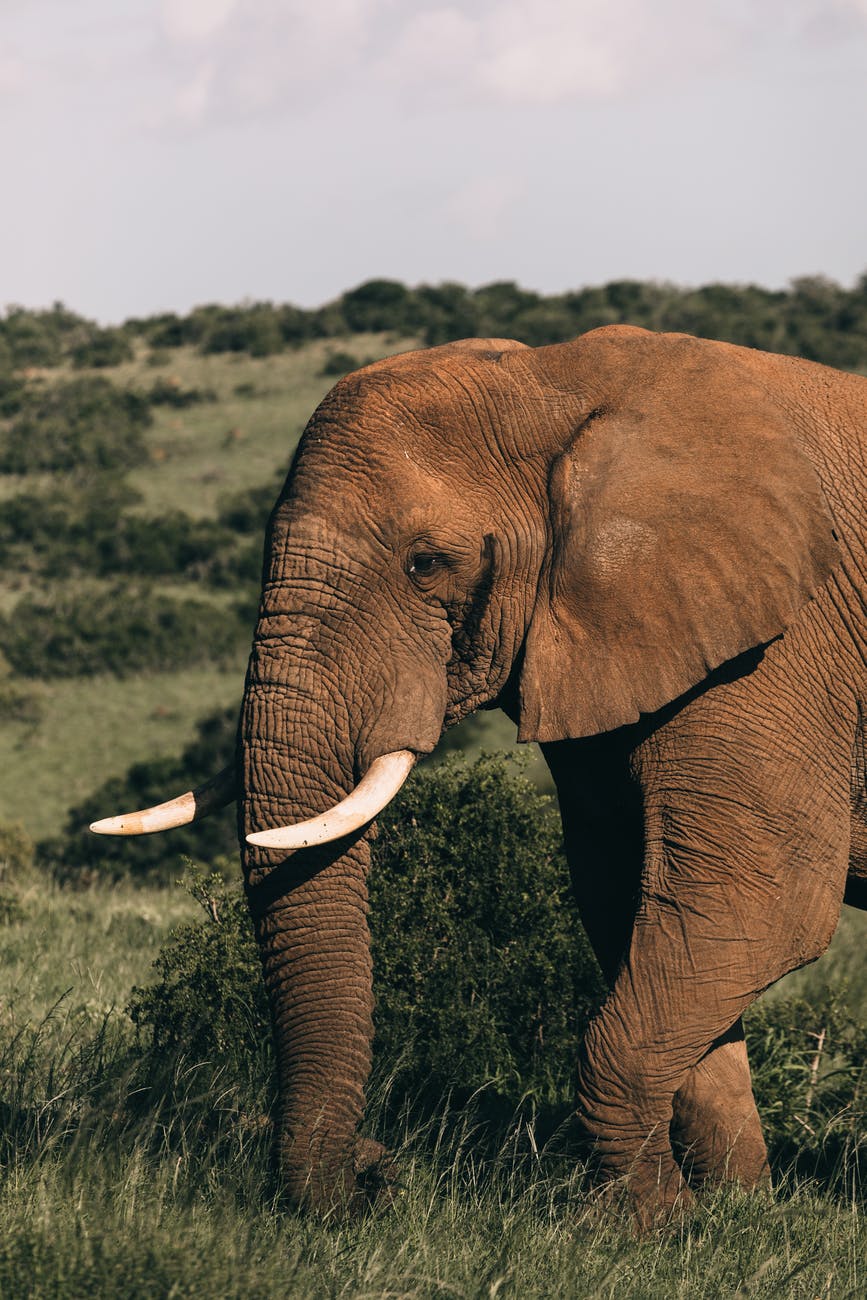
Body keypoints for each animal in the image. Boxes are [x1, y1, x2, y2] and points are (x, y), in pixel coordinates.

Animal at [91, 324, 867, 1226]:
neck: (556, 381)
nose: (374, 1177)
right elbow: (639, 906)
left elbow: (759, 906)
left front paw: (643, 1227)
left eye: (425, 564)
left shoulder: (781, 646)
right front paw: (726, 1217)